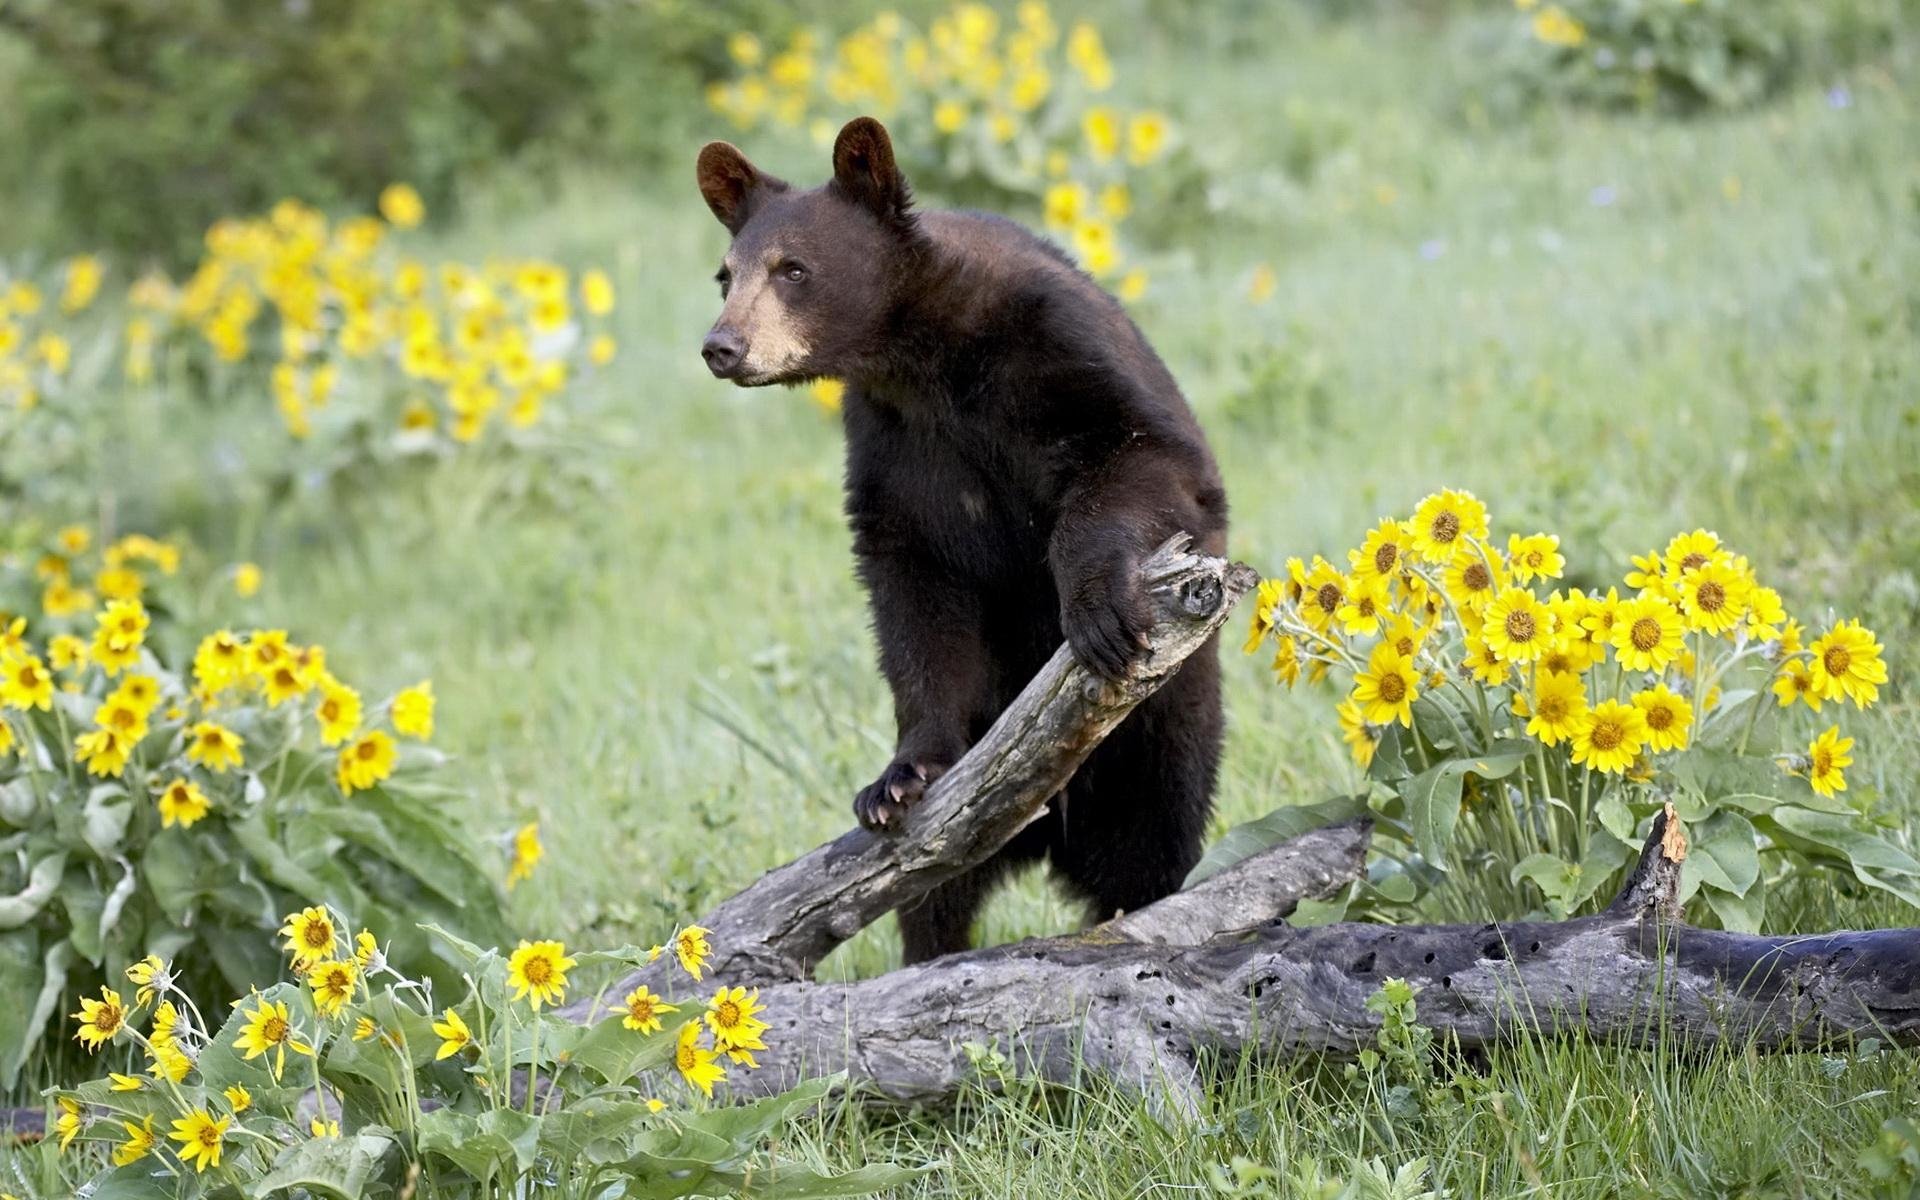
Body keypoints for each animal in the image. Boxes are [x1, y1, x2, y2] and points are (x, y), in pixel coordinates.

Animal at [696, 116, 1228, 964]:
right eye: (726, 275)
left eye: (793, 269)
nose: (722, 345)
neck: (925, 360)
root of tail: (1051, 837)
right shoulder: (895, 445)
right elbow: (915, 593)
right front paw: (898, 778)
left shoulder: (1061, 347)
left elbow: (1148, 457)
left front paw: (1098, 614)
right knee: (933, 896)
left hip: (1161, 737)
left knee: (1152, 846)